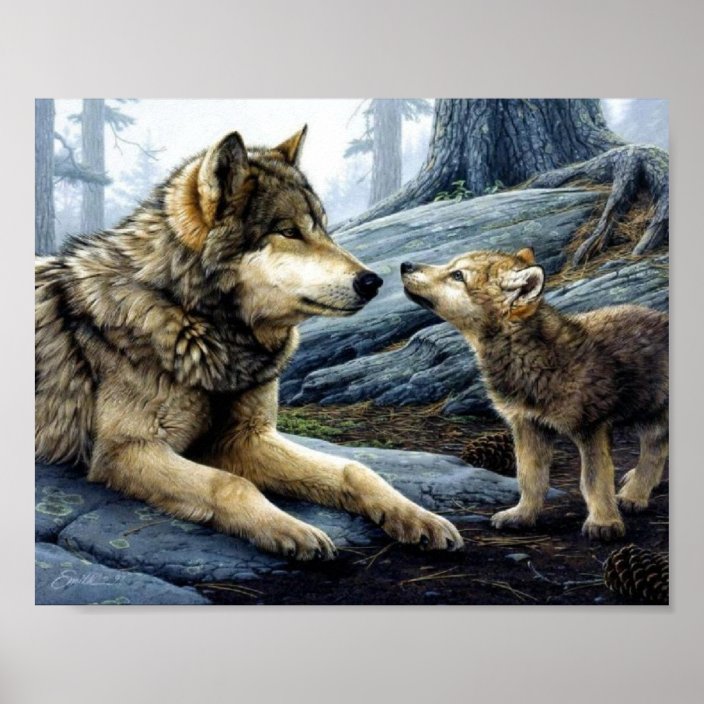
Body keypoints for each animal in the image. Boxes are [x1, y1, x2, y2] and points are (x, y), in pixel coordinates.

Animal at [35, 127, 463, 559]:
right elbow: (231, 483)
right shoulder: (124, 451)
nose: (373, 281)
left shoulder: (246, 438)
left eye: (324, 229)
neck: (200, 325)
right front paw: (292, 530)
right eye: (289, 231)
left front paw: (417, 517)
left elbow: (354, 469)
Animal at [401, 247, 668, 540]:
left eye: (458, 275)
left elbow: (593, 481)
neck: (535, 358)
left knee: (654, 451)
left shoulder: (591, 428)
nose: (404, 264)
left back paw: (633, 495)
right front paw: (521, 515)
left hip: (654, 414)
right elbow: (530, 478)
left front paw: (604, 523)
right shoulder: (527, 424)